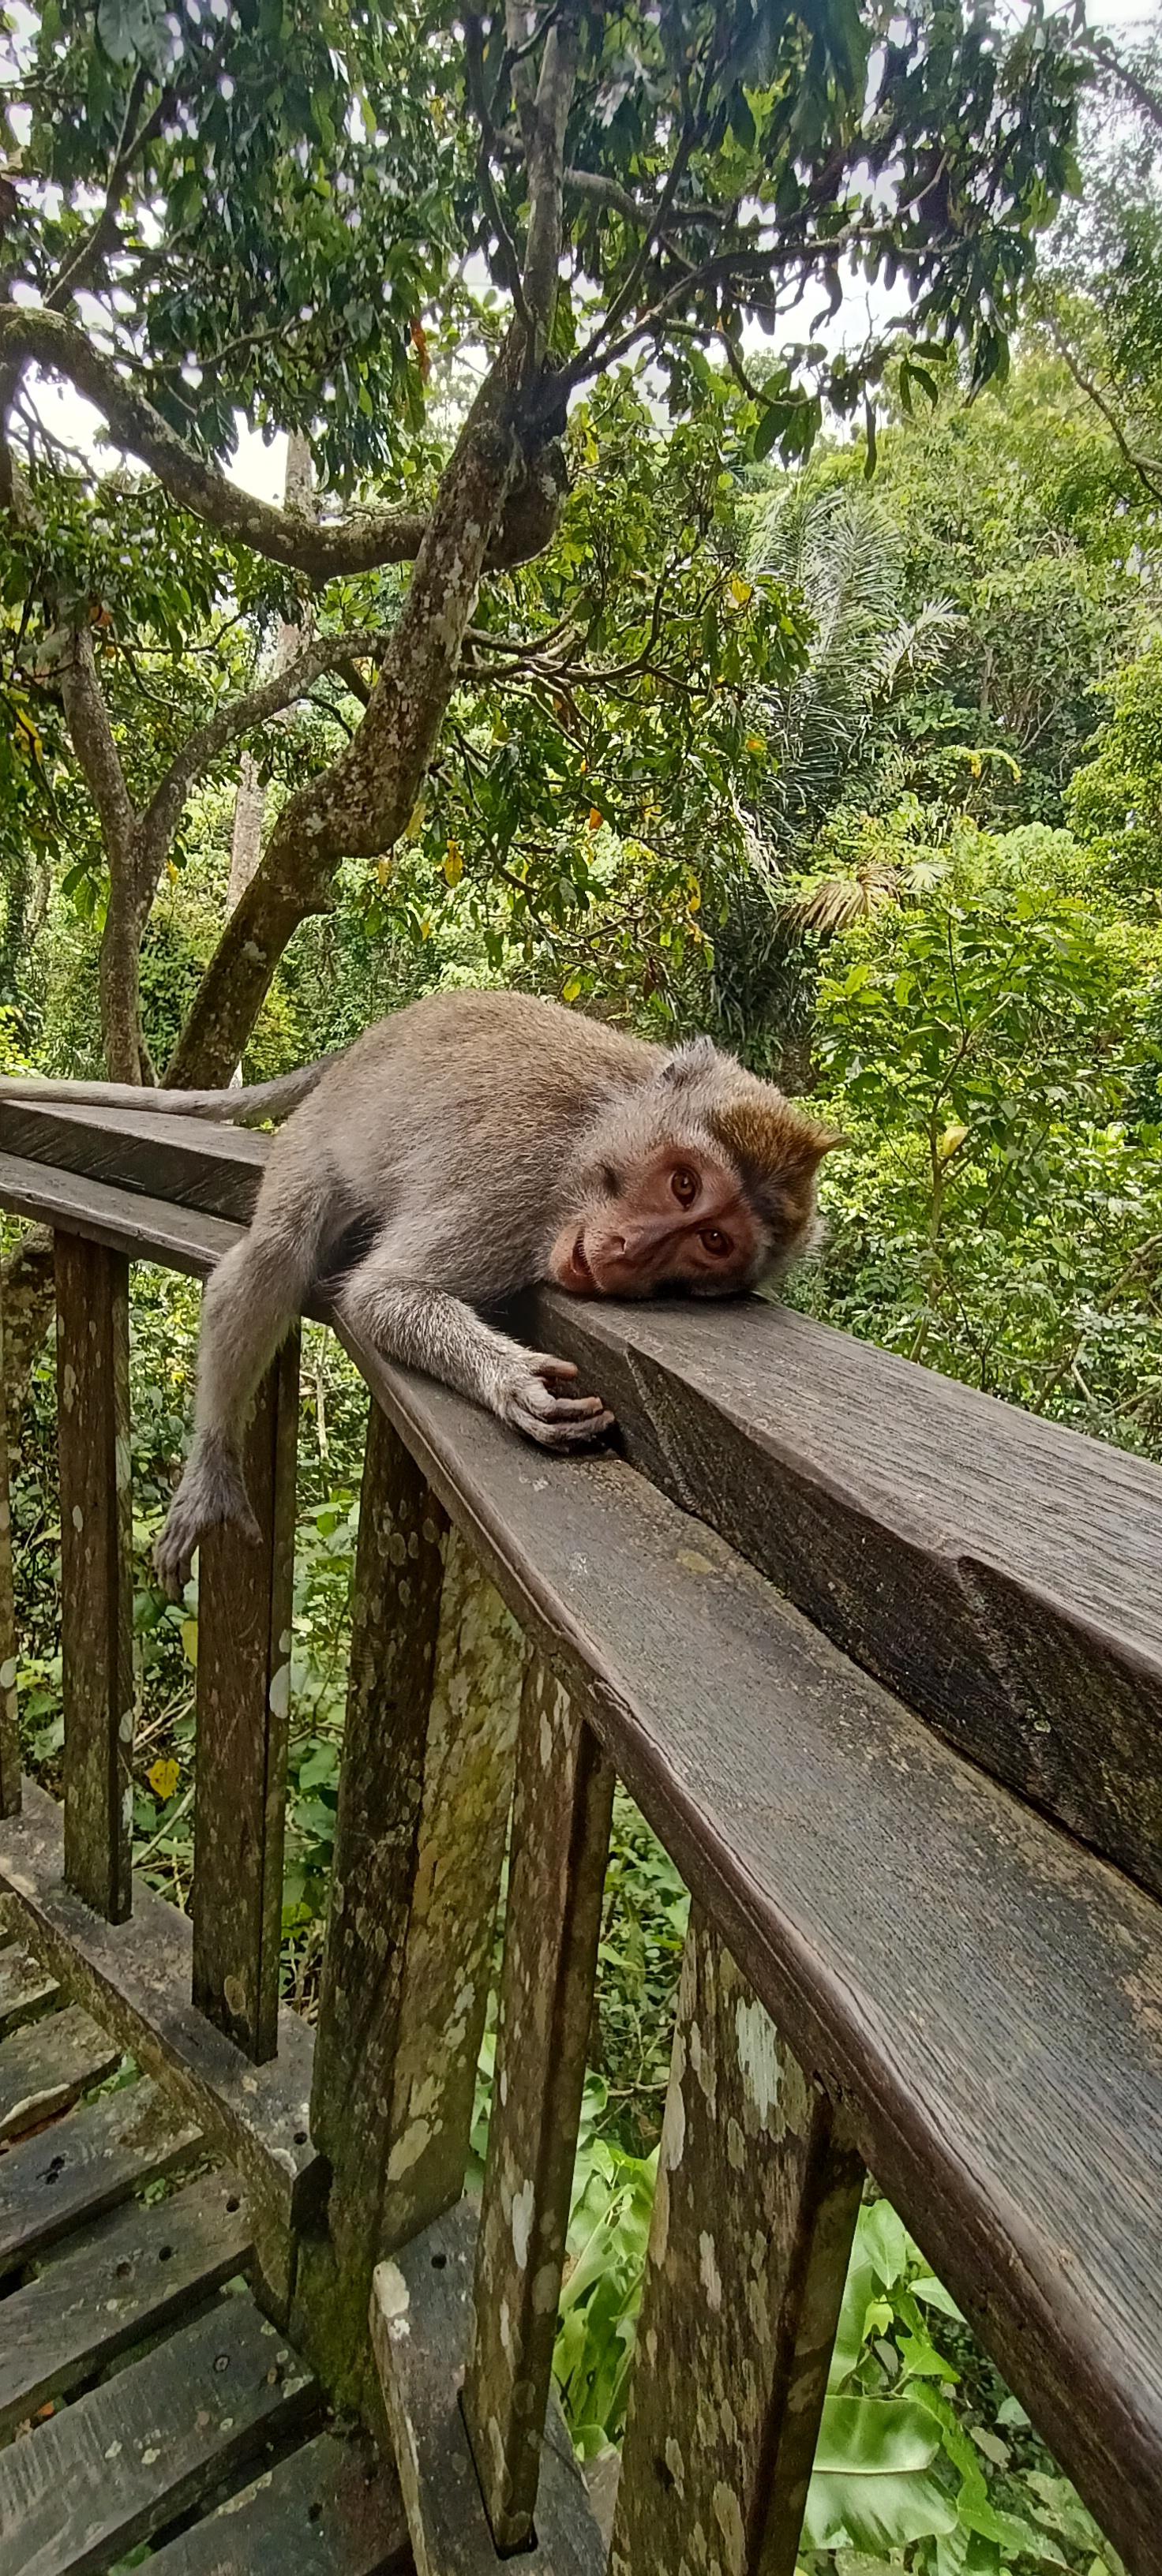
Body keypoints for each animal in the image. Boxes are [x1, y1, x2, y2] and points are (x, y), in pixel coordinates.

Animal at [1, 990, 840, 1597]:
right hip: (325, 1126)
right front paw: (513, 1383)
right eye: (684, 1184)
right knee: (278, 1250)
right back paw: (211, 1463)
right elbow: (382, 1293)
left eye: (714, 1243)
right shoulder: (513, 1181)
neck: (595, 1135)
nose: (633, 1251)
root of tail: (376, 1033)